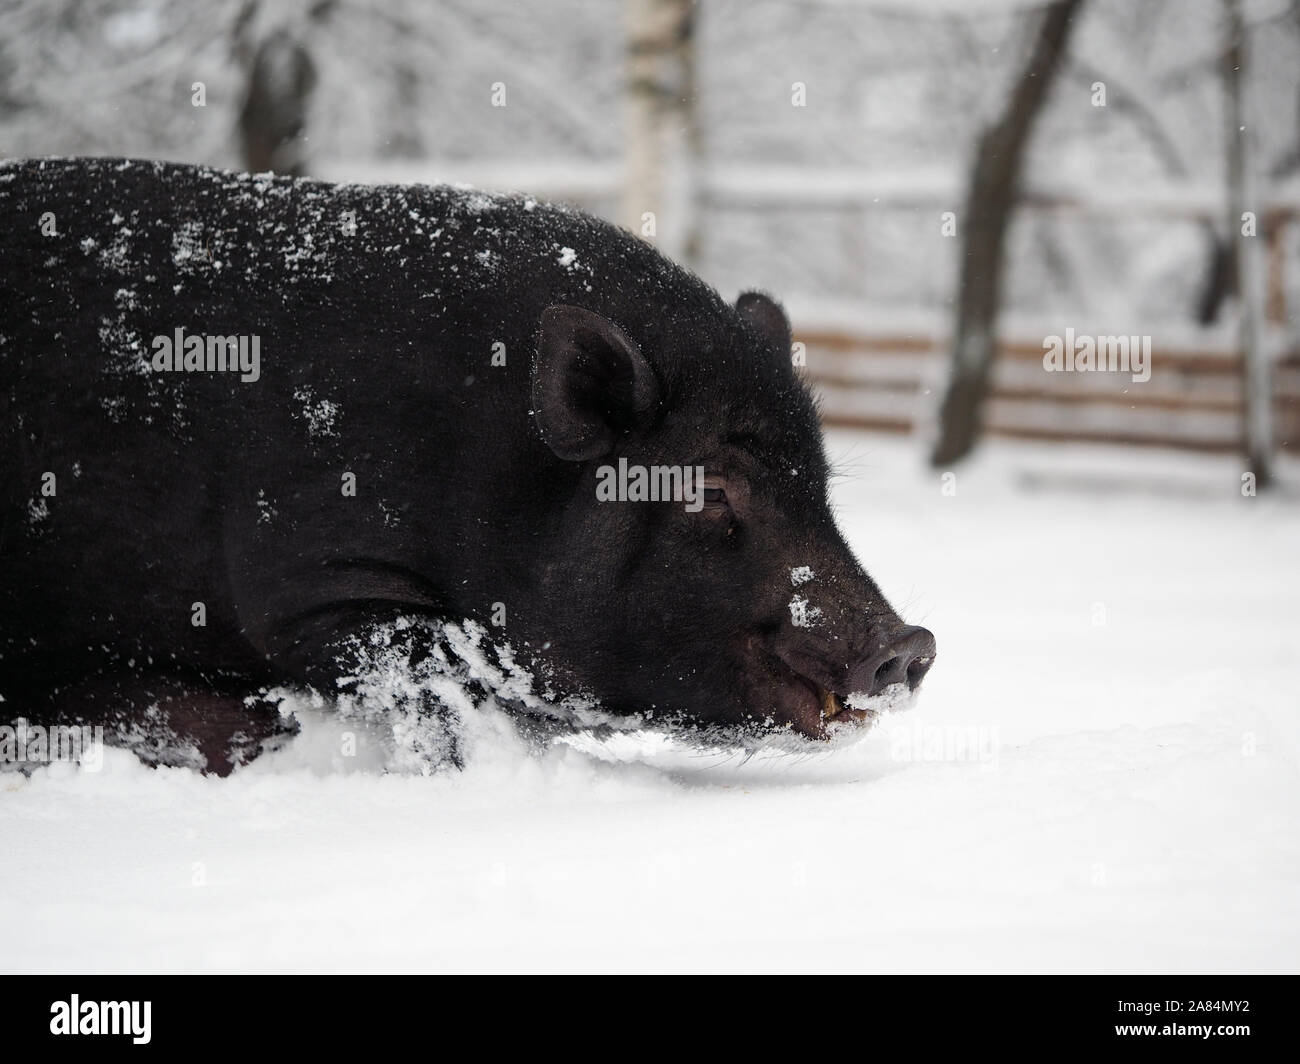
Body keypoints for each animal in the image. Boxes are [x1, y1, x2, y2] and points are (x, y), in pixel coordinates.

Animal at [0, 157, 935, 774]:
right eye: (707, 488)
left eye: (819, 483)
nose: (910, 644)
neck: (489, 475)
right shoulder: (315, 584)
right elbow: (436, 695)